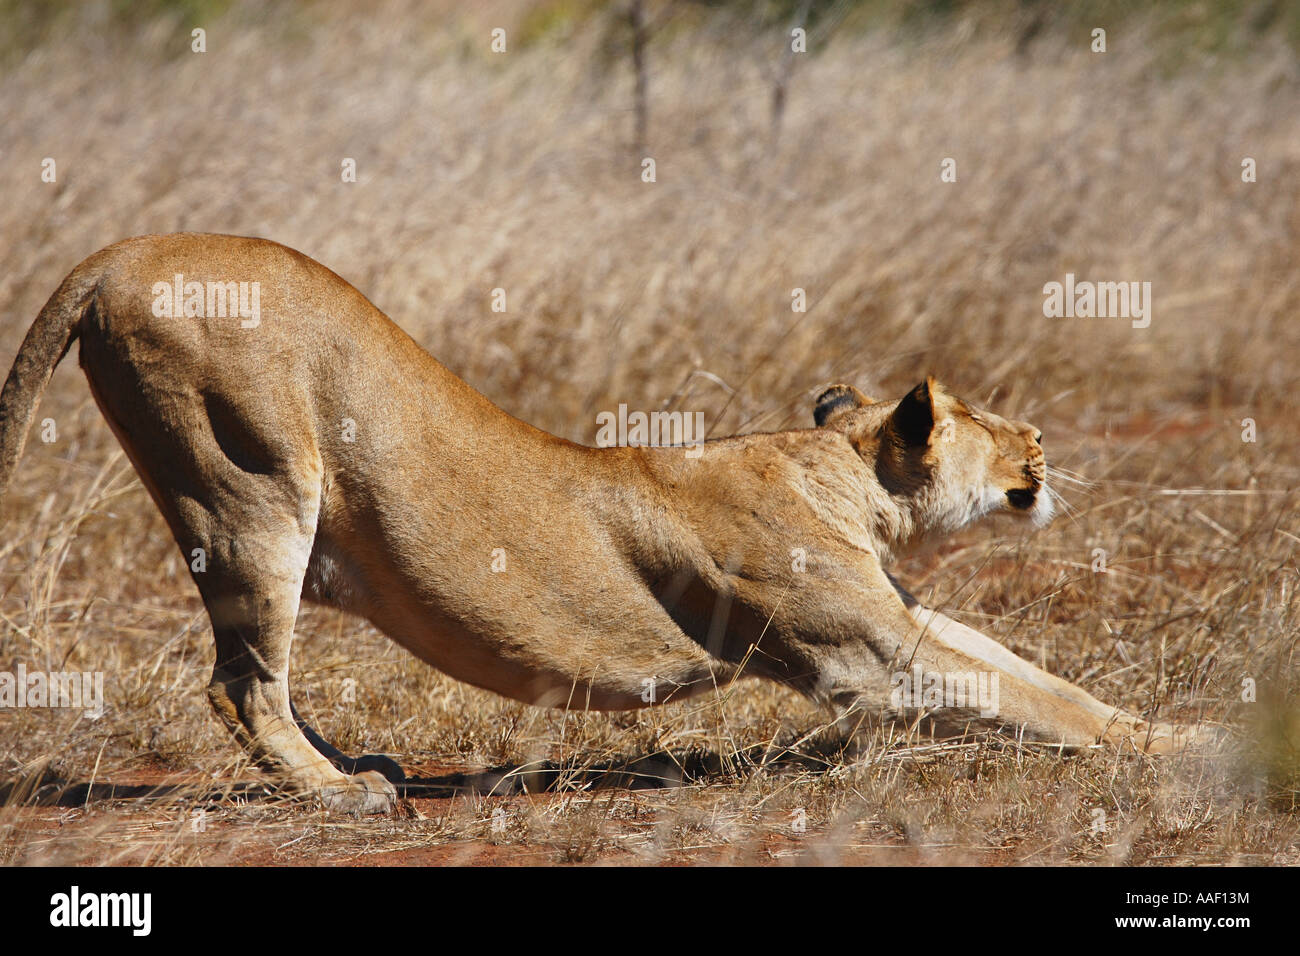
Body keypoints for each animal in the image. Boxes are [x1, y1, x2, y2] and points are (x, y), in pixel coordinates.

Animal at [0, 234, 1210, 814]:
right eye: (994, 424)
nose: (1042, 442)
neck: (832, 473)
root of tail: (118, 255)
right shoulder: (866, 656)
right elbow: (1025, 698)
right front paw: (1196, 756)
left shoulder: (897, 616)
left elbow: (1036, 676)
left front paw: (1178, 733)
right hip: (250, 485)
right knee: (238, 681)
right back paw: (338, 793)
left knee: (263, 678)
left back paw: (355, 760)